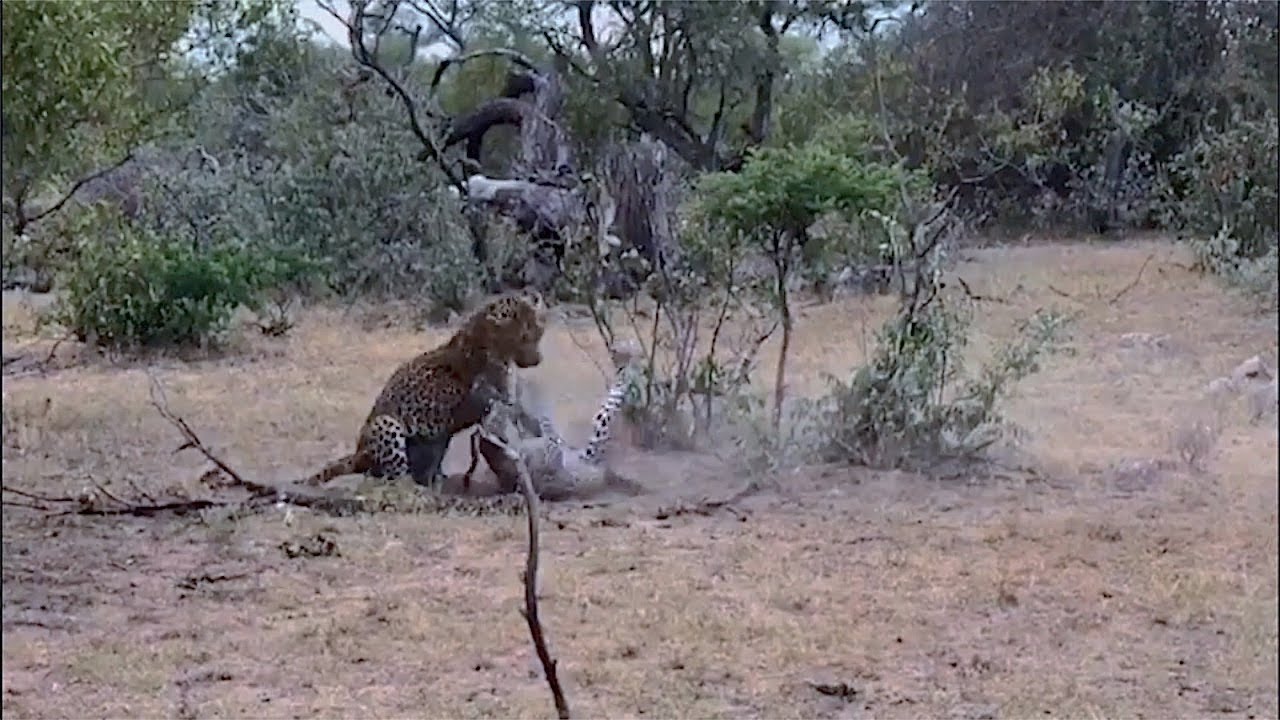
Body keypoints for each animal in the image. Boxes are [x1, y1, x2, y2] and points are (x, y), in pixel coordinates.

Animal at [301, 289, 548, 488]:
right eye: (525, 336)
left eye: (540, 332)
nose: (538, 359)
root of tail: (357, 453)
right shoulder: (490, 400)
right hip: (385, 424)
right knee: (391, 476)